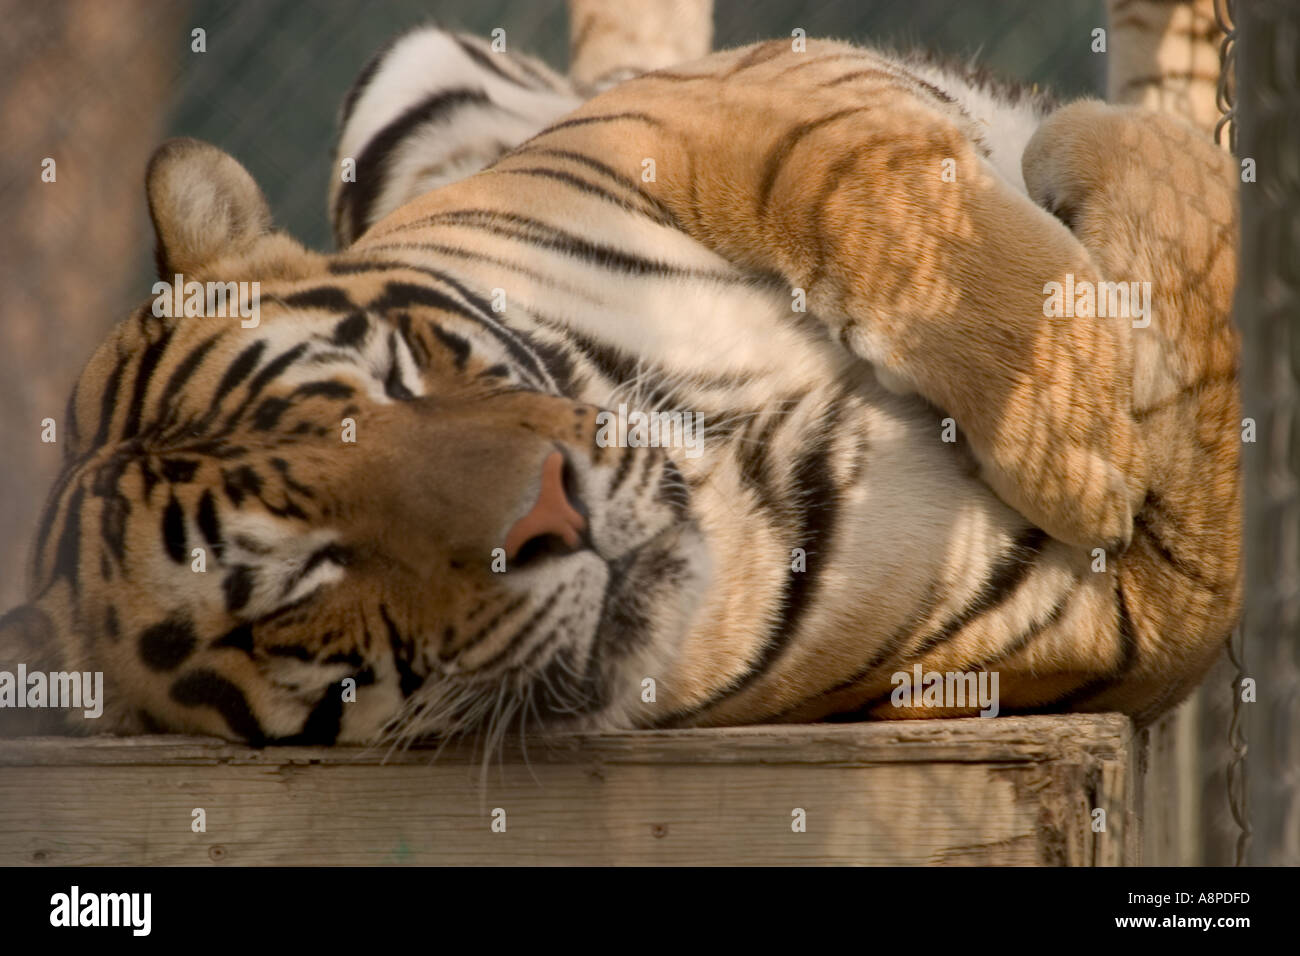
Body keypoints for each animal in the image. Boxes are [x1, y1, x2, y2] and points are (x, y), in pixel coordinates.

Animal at [0, 5, 1242, 746]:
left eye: (392, 375)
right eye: (307, 578)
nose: (550, 511)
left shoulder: (729, 105)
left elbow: (883, 195)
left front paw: (1077, 424)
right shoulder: (1127, 615)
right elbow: (1199, 499)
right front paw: (1109, 437)